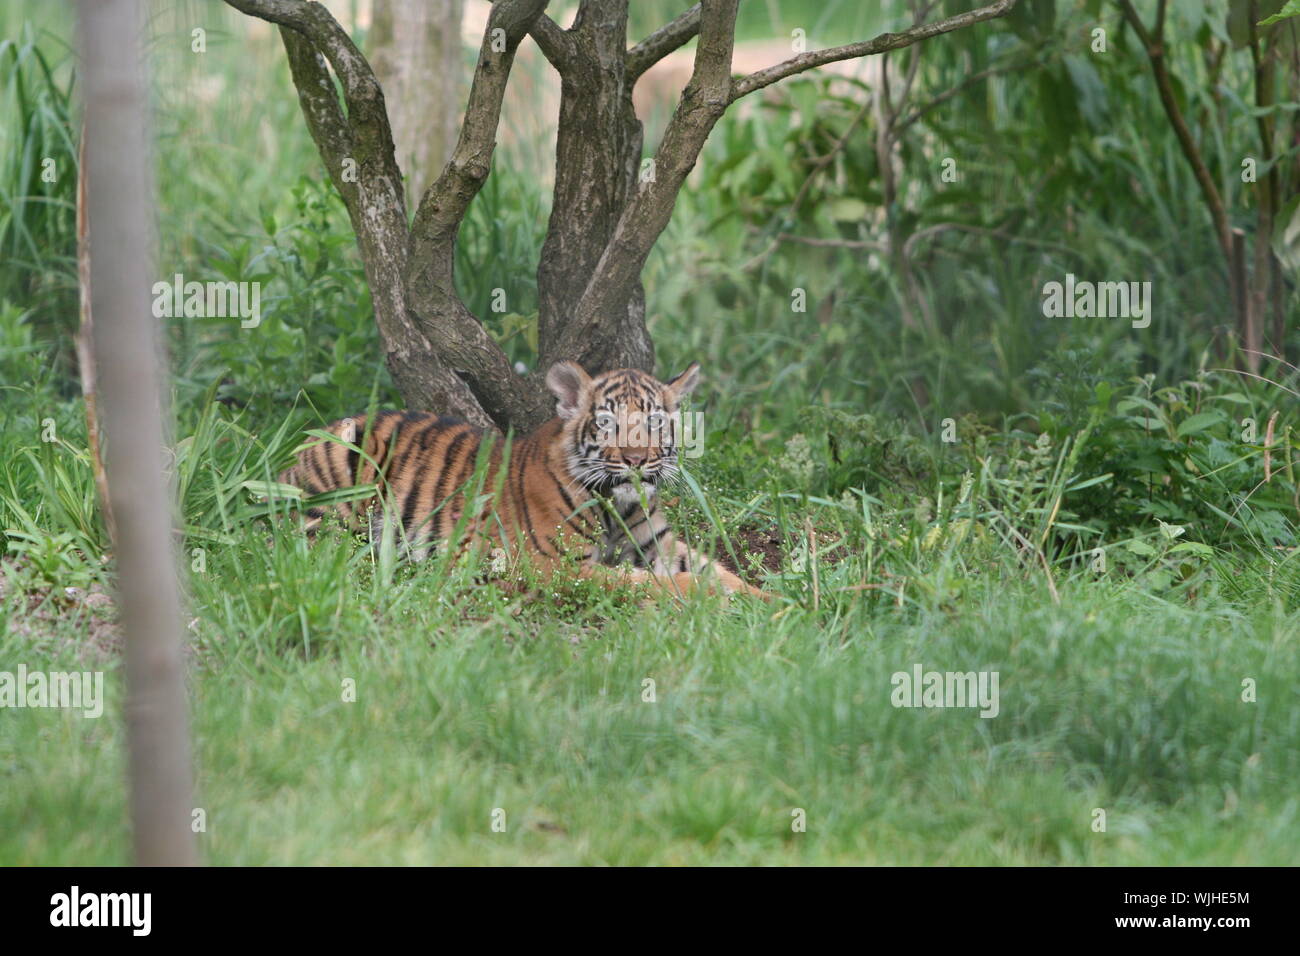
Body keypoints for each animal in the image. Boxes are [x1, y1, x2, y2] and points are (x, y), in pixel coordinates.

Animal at [277, 361, 770, 600]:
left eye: (653, 422)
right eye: (607, 423)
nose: (635, 459)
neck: (615, 505)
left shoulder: (660, 545)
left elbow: (722, 571)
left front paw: (775, 605)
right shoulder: (553, 565)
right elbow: (643, 581)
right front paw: (703, 596)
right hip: (342, 462)